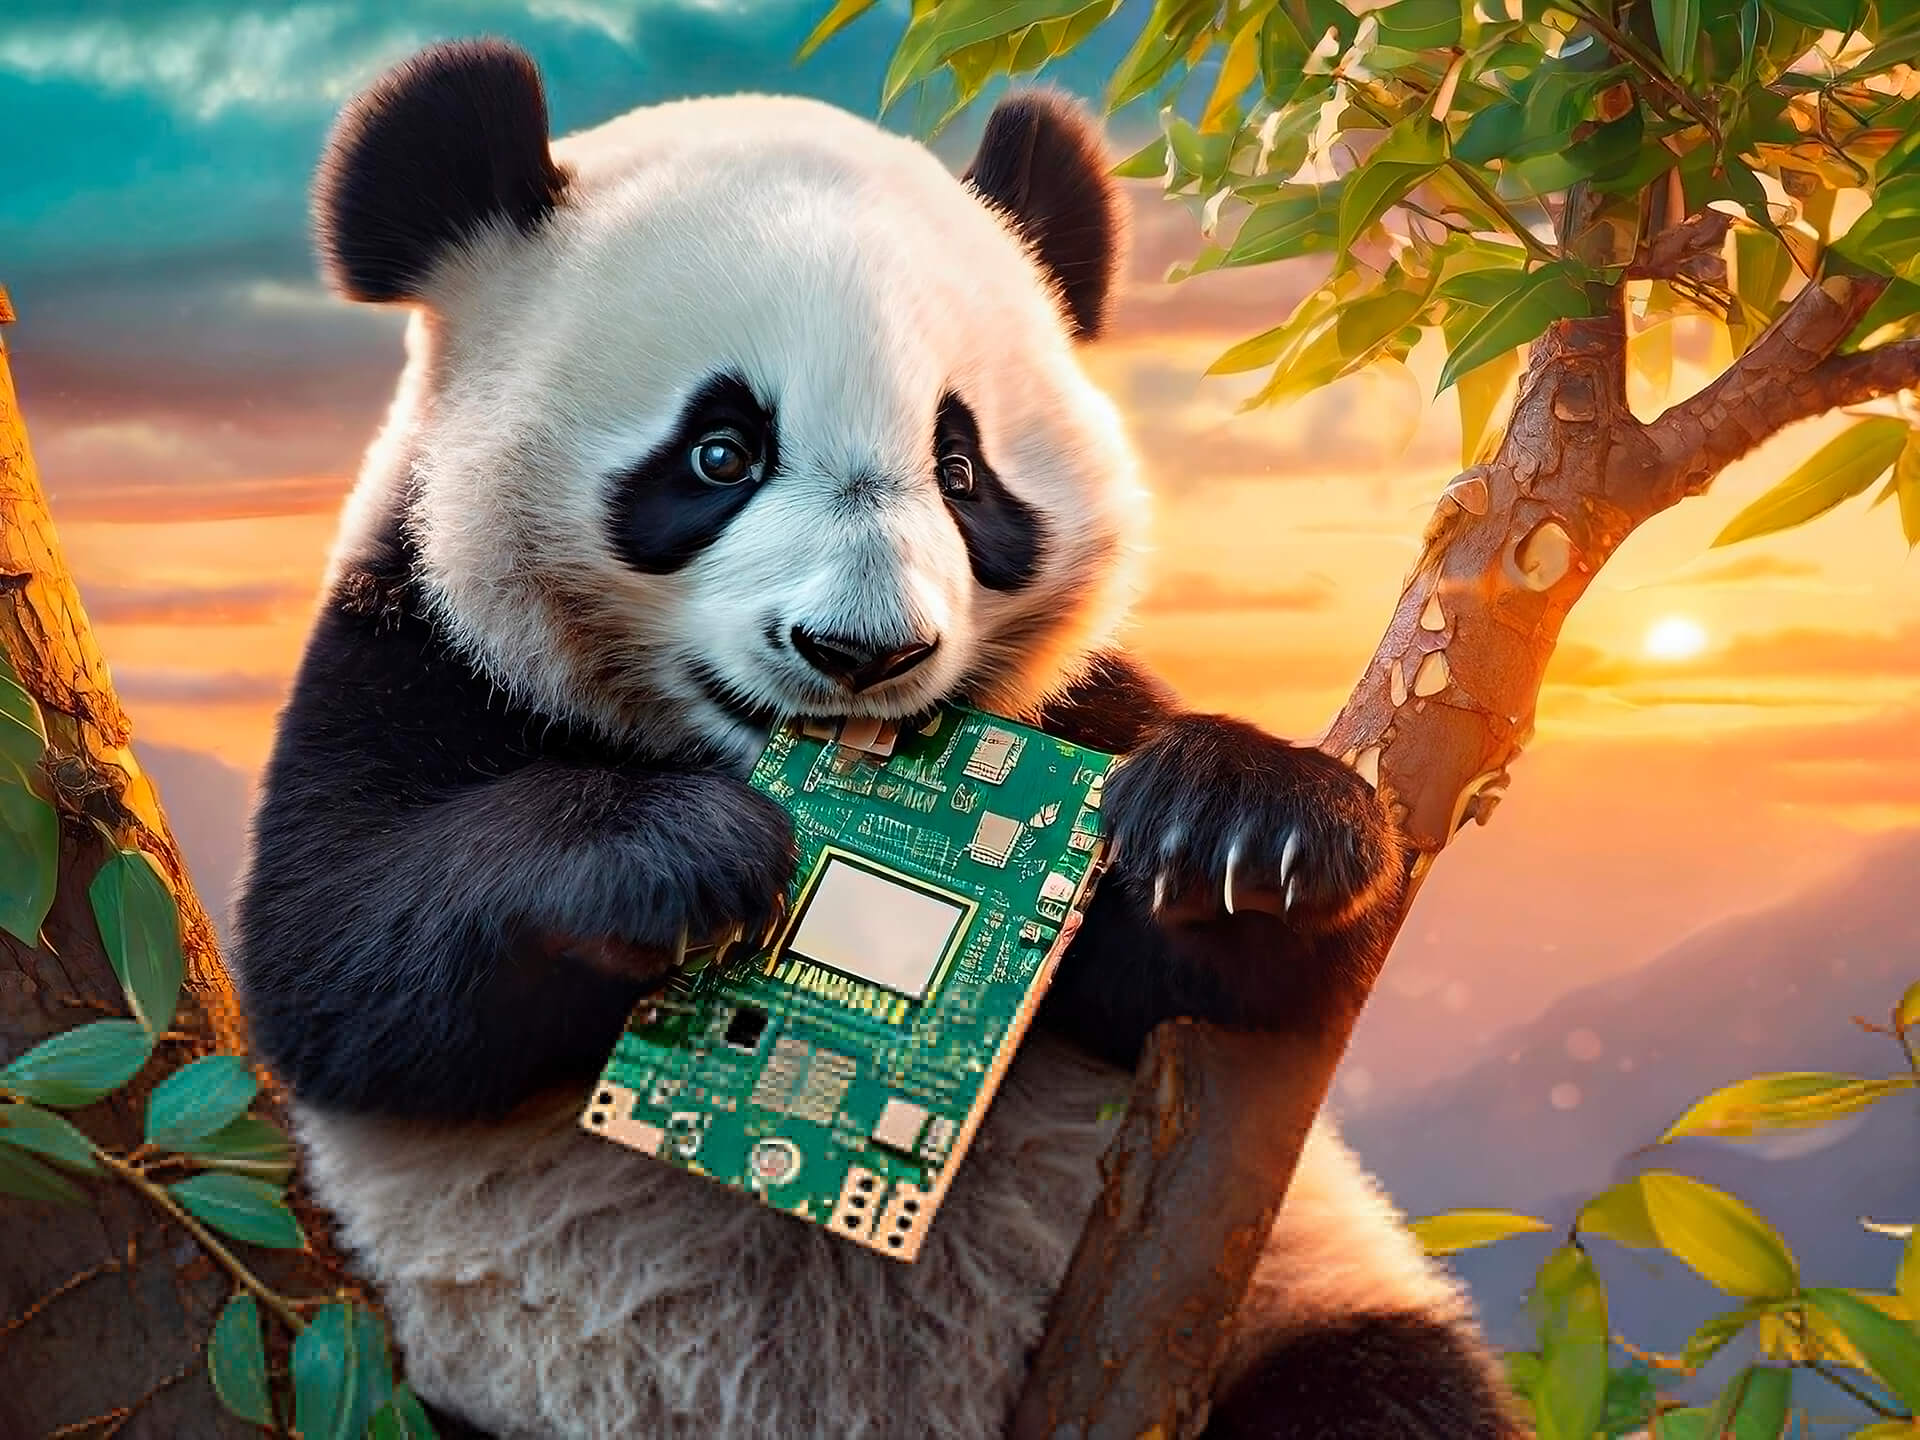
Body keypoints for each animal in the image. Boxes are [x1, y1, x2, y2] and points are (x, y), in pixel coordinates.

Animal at [229, 38, 1522, 1440]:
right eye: (720, 453)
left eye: (963, 473)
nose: (864, 652)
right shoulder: (403, 648)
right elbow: (337, 961)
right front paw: (670, 856)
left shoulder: (1065, 717)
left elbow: (1242, 983)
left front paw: (1243, 829)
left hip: (1301, 1304)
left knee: (1385, 1384)